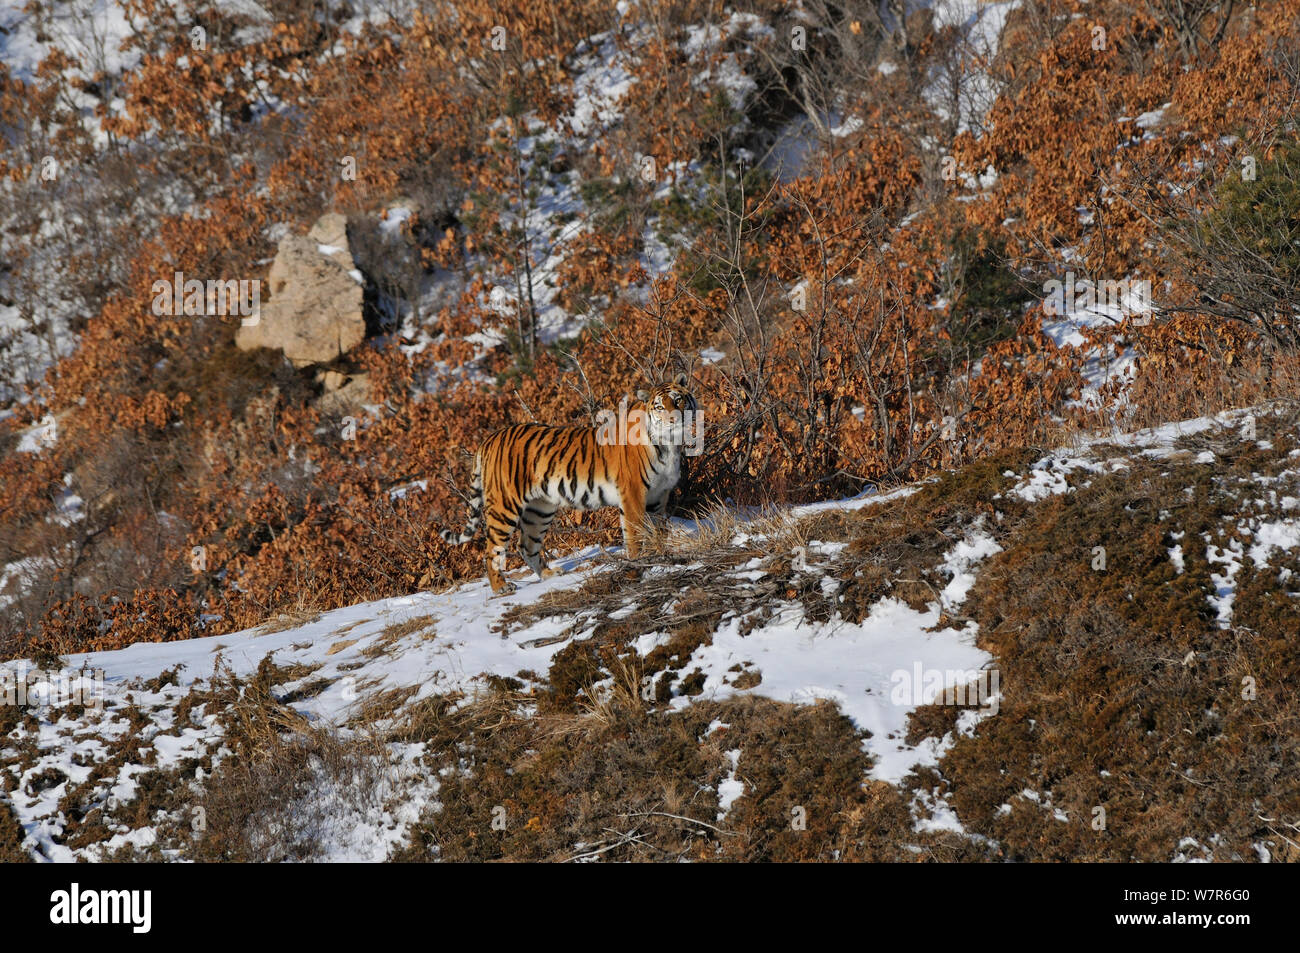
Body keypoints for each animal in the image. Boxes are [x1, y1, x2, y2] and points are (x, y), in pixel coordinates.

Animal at [440, 373, 698, 594]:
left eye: (678, 400)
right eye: (660, 407)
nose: (674, 419)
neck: (670, 444)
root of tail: (489, 439)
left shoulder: (659, 495)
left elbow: (659, 530)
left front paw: (661, 556)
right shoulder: (633, 495)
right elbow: (634, 535)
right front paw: (638, 566)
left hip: (540, 509)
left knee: (526, 545)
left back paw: (548, 574)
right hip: (505, 507)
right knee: (491, 548)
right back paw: (501, 587)